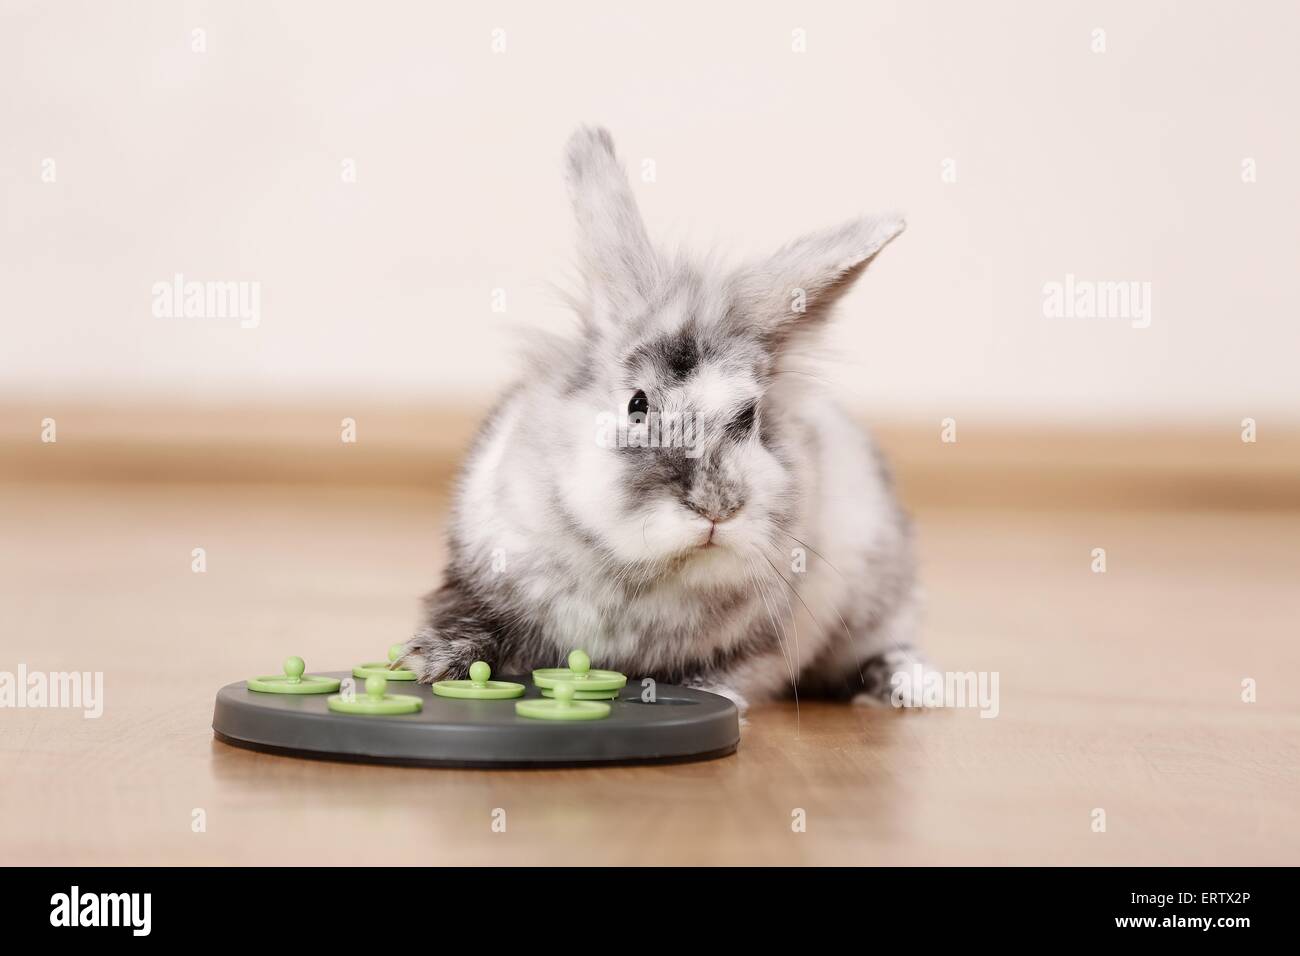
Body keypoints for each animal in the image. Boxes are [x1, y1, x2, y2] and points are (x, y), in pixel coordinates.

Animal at [398, 125, 937, 711]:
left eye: (750, 416)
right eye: (638, 405)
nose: (716, 507)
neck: (641, 573)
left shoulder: (766, 640)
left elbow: (732, 675)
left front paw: (715, 700)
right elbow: (472, 623)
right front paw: (425, 664)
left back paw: (911, 685)